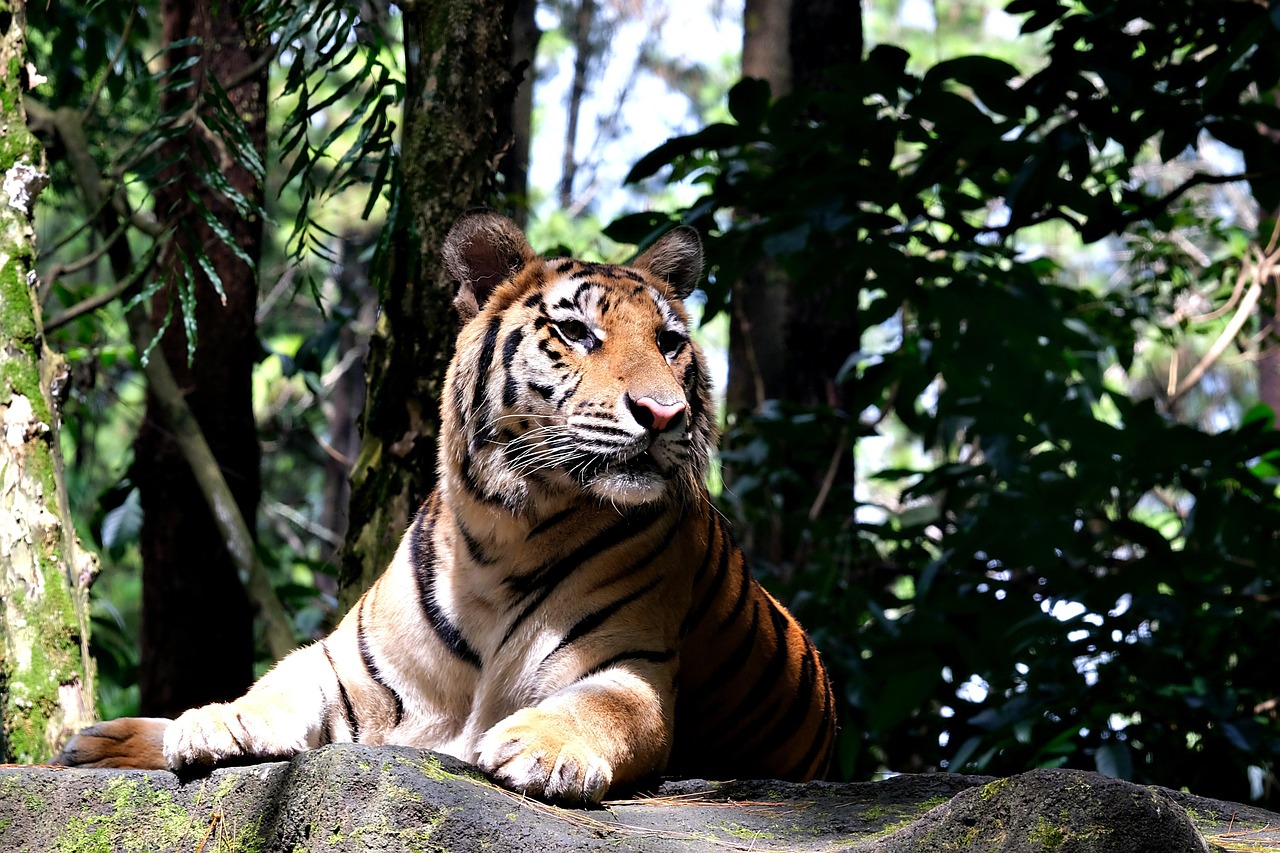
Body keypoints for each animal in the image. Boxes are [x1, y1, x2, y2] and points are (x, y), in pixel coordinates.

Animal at [53, 210, 837, 805]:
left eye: (670, 344)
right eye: (577, 332)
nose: (667, 413)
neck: (508, 531)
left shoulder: (631, 664)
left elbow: (600, 706)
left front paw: (539, 746)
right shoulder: (346, 663)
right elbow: (277, 682)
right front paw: (219, 721)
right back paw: (96, 742)